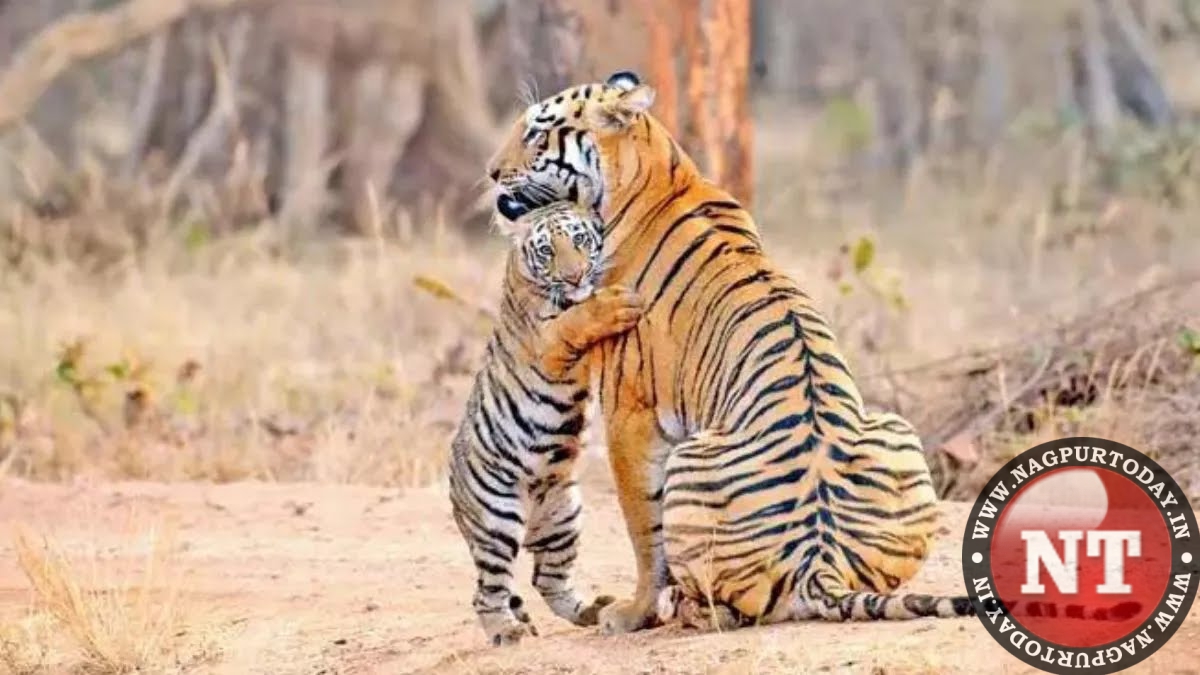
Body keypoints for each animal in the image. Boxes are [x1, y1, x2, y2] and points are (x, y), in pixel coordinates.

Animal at [448, 197, 643, 646]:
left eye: (579, 239)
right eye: (547, 251)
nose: (574, 276)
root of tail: (454, 498)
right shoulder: (549, 341)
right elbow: (578, 317)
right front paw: (614, 303)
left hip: (563, 517)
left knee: (548, 580)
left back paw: (592, 610)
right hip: (496, 520)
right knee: (487, 591)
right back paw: (506, 632)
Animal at [484, 71, 1141, 633]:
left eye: (536, 132)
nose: (491, 173)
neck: (659, 171)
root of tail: (818, 564)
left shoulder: (629, 412)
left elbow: (644, 529)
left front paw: (634, 612)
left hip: (694, 456)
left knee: (723, 606)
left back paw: (687, 611)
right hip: (896, 433)